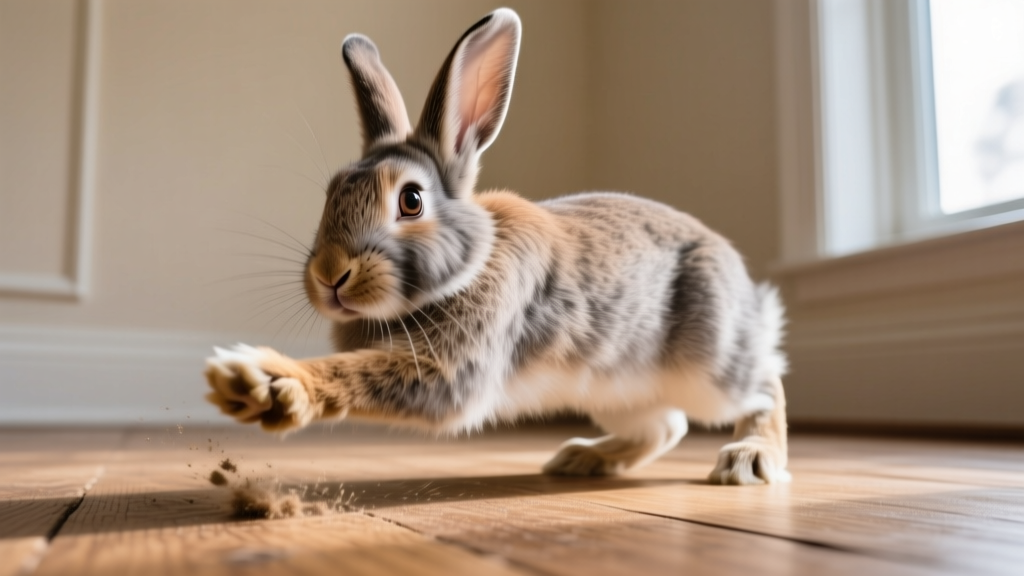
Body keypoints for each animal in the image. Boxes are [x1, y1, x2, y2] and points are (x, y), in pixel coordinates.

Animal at [205, 8, 790, 485]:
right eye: (331, 195)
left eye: (411, 200)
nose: (330, 274)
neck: (470, 264)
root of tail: (741, 280)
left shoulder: (454, 366)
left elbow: (357, 373)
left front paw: (263, 381)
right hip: (616, 389)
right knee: (665, 427)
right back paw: (582, 458)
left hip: (709, 367)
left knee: (764, 382)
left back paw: (750, 459)